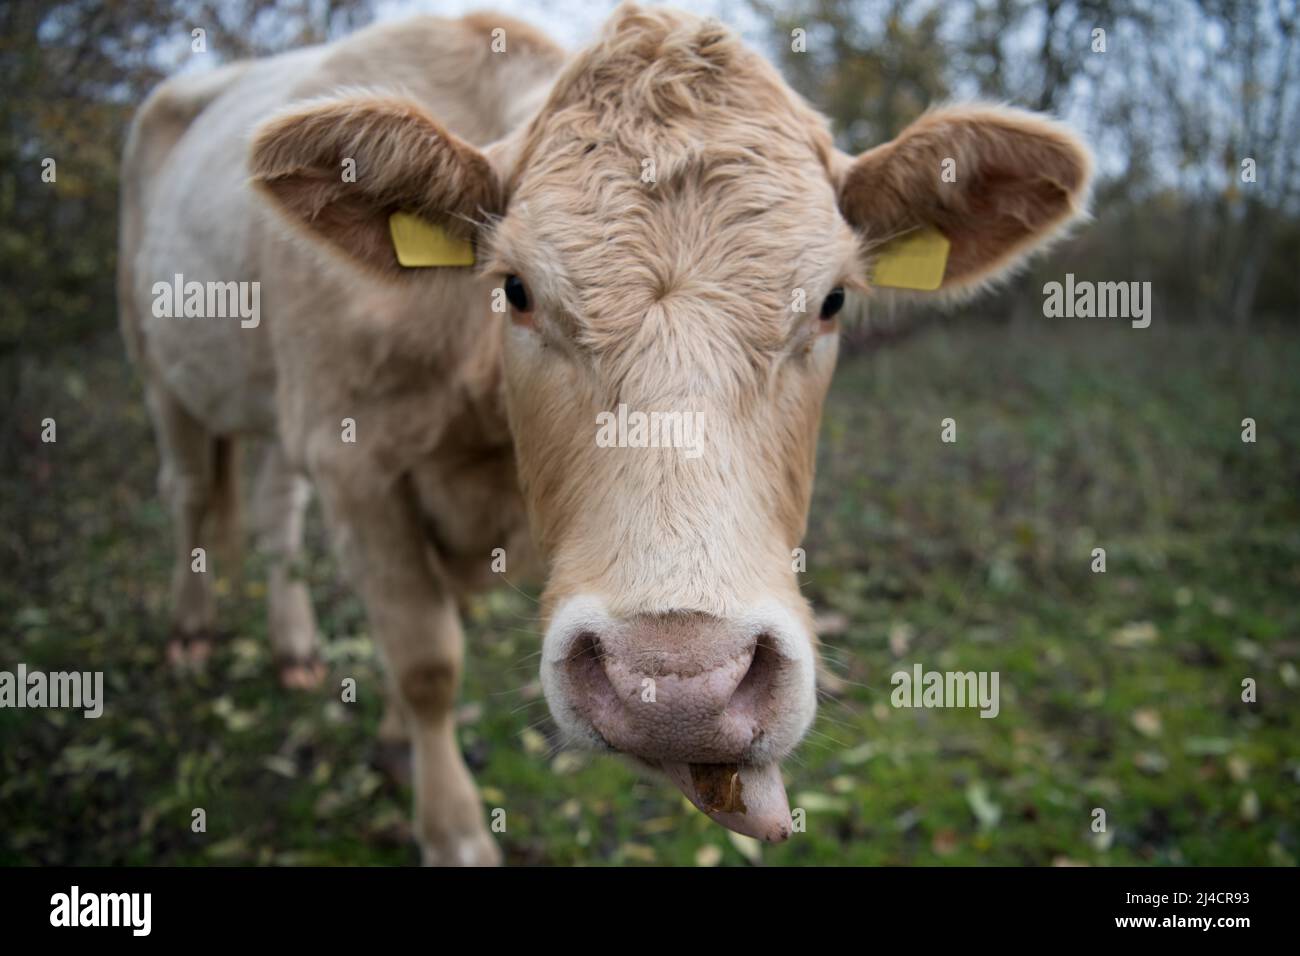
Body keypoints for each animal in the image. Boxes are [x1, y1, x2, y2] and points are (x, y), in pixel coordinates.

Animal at [118, 3, 1092, 865]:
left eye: (831, 301)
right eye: (514, 288)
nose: (679, 687)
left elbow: (430, 631)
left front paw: (397, 741)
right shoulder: (349, 453)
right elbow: (428, 658)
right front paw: (454, 829)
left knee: (274, 512)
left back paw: (293, 650)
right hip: (159, 364)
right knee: (189, 494)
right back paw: (191, 630)